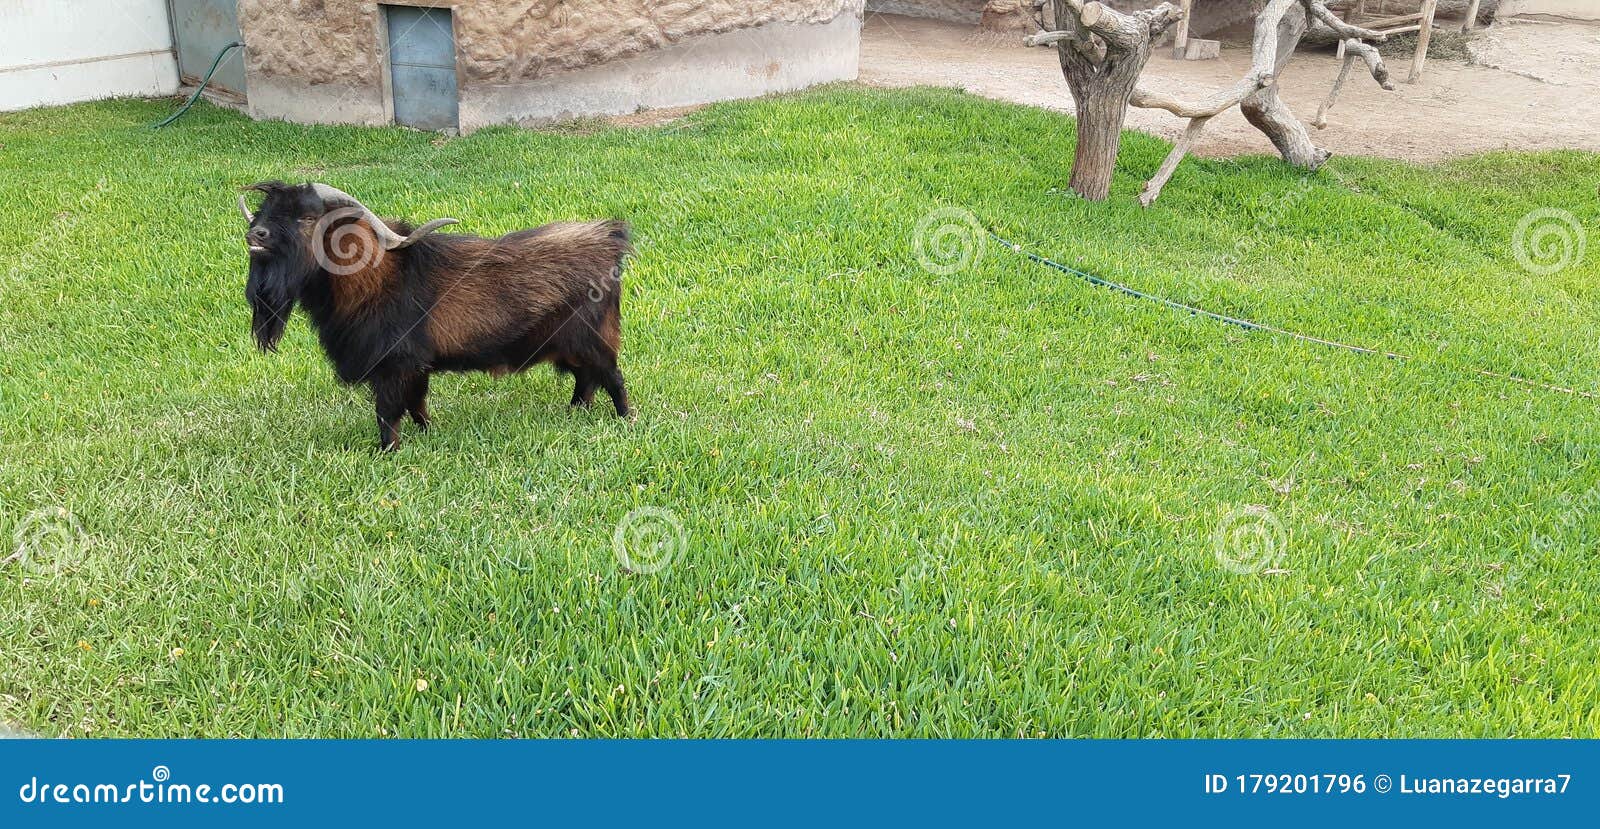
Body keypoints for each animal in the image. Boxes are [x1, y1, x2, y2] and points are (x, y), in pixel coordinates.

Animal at [238, 181, 632, 450]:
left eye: (307, 216)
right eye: (266, 209)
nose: (256, 234)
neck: (378, 278)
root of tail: (612, 240)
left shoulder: (395, 365)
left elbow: (388, 412)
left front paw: (387, 451)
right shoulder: (415, 367)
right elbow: (417, 404)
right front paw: (427, 432)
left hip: (592, 339)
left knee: (612, 378)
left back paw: (626, 418)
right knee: (586, 381)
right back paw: (575, 412)